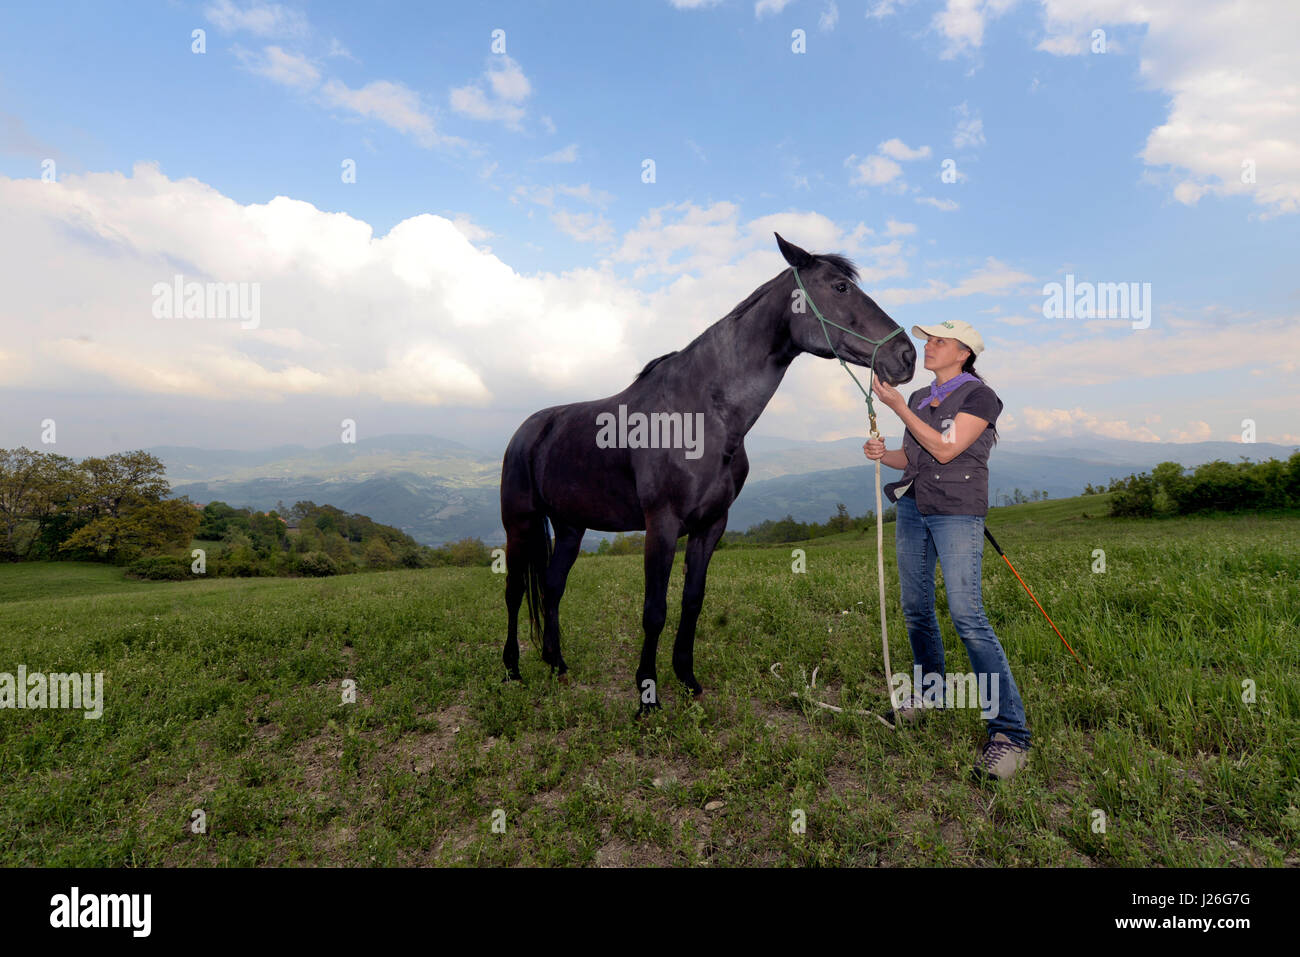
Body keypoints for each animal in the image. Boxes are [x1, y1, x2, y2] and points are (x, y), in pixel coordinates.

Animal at [499, 232, 916, 714]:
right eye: (840, 287)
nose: (906, 355)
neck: (703, 414)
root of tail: (528, 430)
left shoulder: (711, 525)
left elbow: (692, 602)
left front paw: (687, 678)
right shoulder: (661, 524)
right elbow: (654, 610)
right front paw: (647, 695)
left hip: (570, 527)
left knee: (551, 588)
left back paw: (557, 664)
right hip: (521, 524)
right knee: (514, 591)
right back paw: (512, 670)